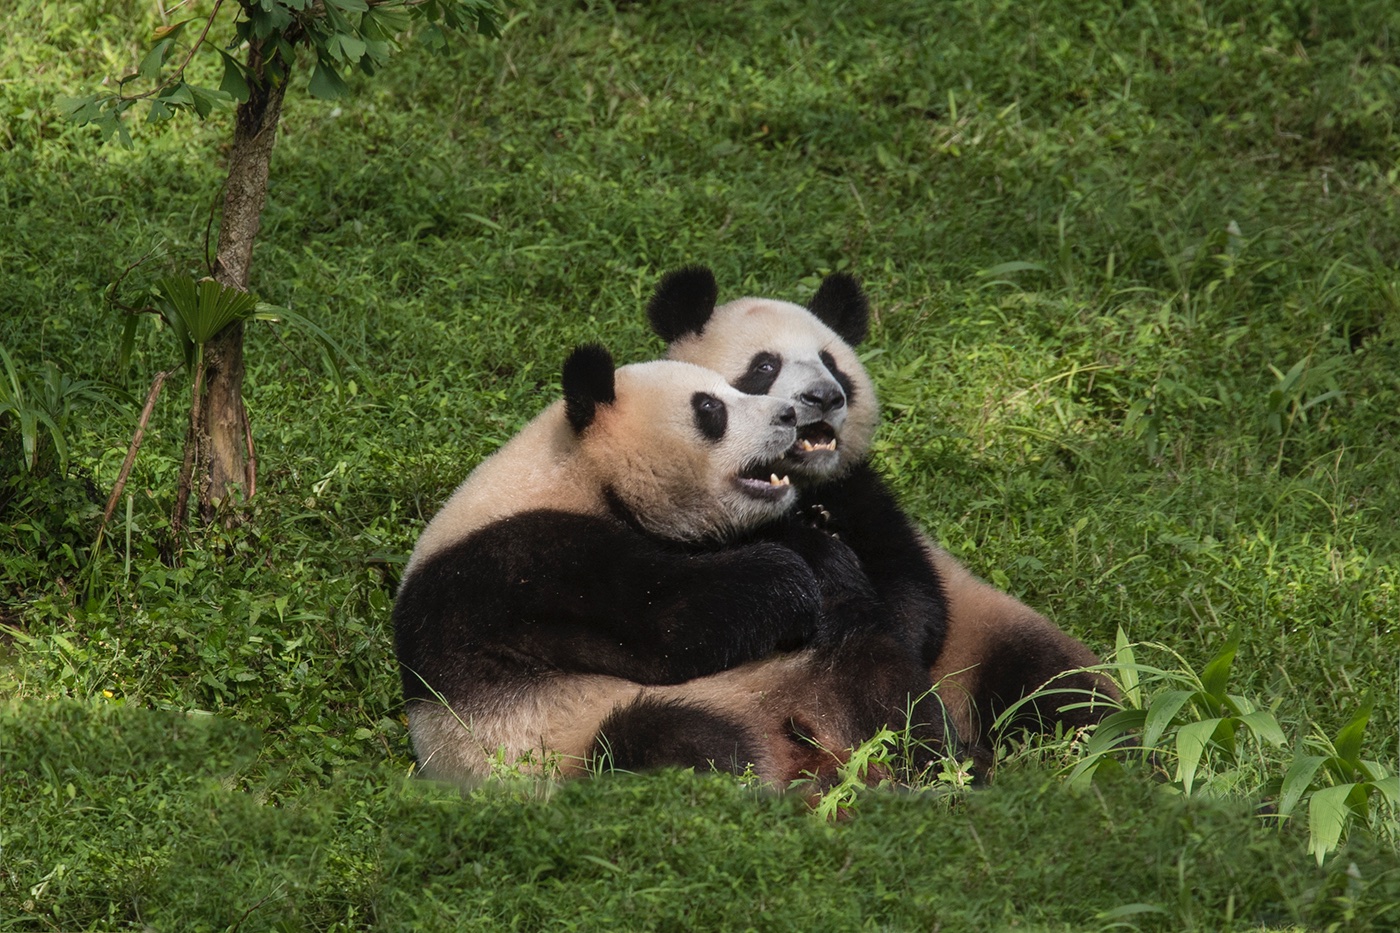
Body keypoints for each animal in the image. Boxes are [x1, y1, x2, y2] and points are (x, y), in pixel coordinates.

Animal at [393, 343, 944, 786]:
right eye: (710, 407)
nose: (788, 415)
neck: (578, 472)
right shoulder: (524, 565)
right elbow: (676, 621)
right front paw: (805, 575)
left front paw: (826, 549)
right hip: (563, 744)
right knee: (666, 739)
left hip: (811, 677)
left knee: (884, 684)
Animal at [647, 267, 1119, 754]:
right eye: (764, 367)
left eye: (832, 364)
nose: (824, 397)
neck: (795, 485)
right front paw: (824, 561)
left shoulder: (862, 497)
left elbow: (913, 595)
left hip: (988, 635)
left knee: (1053, 684)